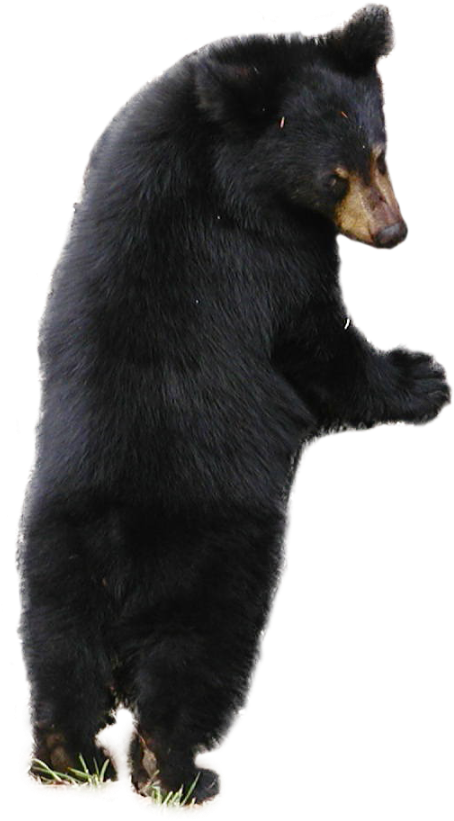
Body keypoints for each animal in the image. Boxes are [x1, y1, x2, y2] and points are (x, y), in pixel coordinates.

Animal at [16, 2, 451, 804]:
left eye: (380, 152)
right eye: (334, 177)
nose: (392, 233)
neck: (219, 133)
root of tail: (124, 553)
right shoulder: (270, 246)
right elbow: (320, 343)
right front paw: (421, 375)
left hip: (52, 549)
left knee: (61, 650)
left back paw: (66, 755)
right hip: (221, 556)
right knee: (197, 661)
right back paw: (183, 772)